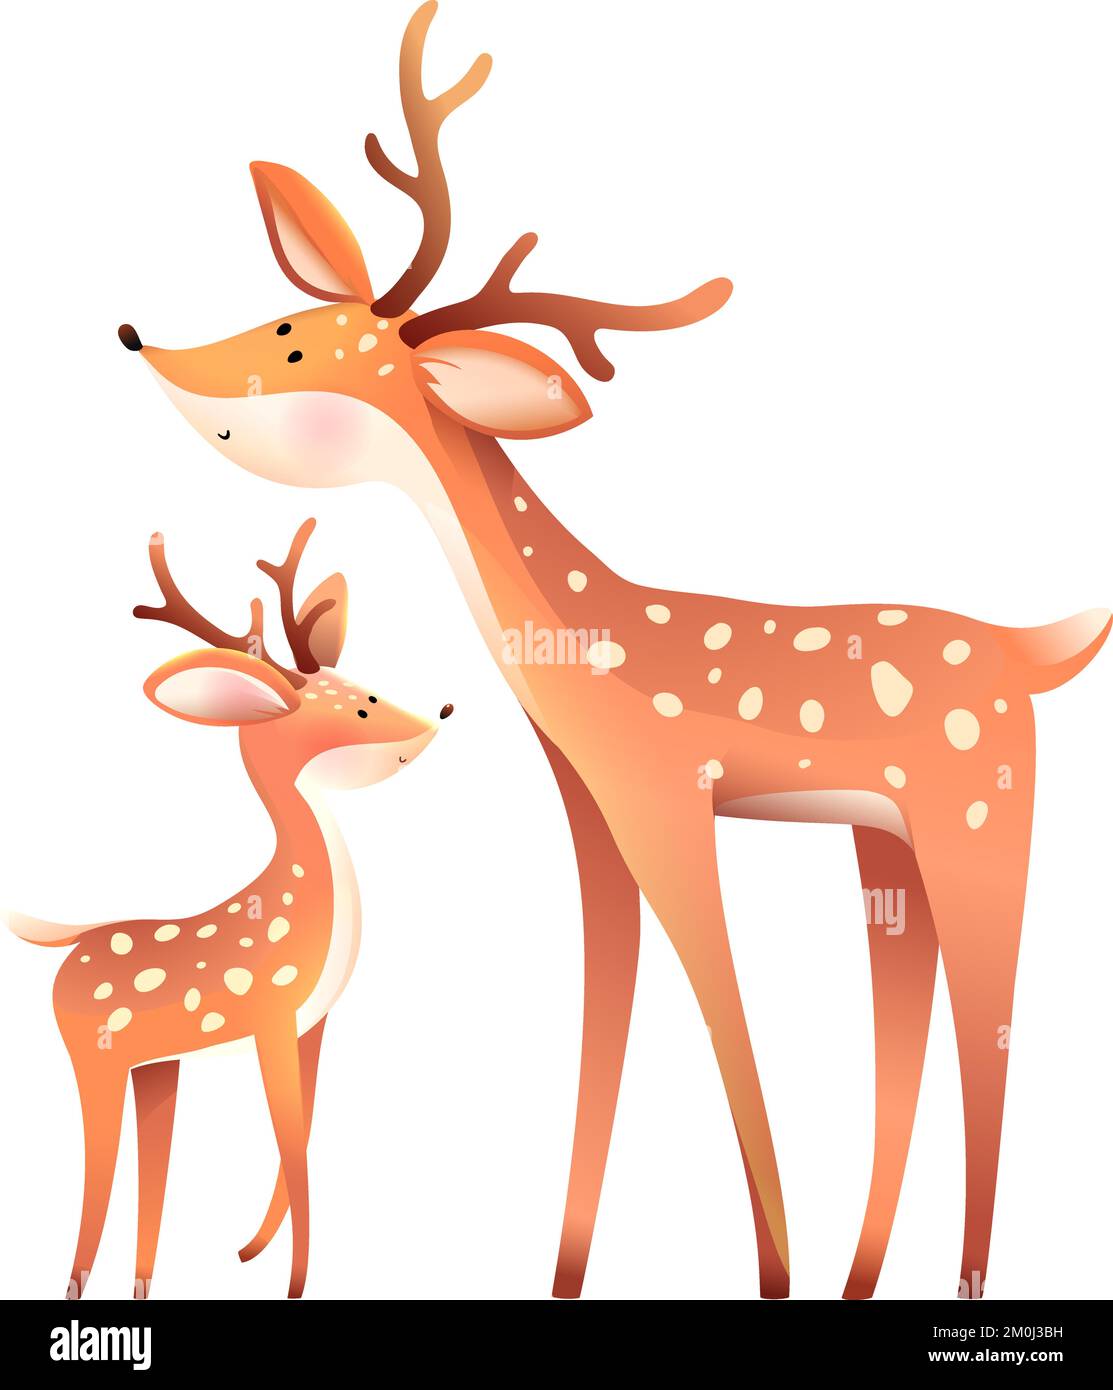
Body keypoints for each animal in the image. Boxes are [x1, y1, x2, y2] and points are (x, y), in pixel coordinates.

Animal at [7, 519, 450, 1299]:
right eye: (362, 705)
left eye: (367, 685)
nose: (436, 719)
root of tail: (68, 942)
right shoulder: (272, 1013)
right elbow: (289, 1137)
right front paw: (295, 1284)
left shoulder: (314, 1022)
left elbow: (301, 1133)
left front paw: (250, 1252)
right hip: (91, 1055)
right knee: (97, 1159)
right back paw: (75, 1285)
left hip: (157, 1064)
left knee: (152, 1157)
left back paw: (142, 1284)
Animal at [116, 0, 1109, 1299]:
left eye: (292, 340)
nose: (143, 342)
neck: (595, 653)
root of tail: (1038, 647)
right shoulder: (591, 808)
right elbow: (608, 1015)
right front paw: (565, 1273)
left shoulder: (668, 793)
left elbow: (727, 1019)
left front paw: (768, 1277)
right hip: (882, 838)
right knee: (912, 1018)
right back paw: (866, 1276)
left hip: (985, 809)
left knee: (994, 1024)